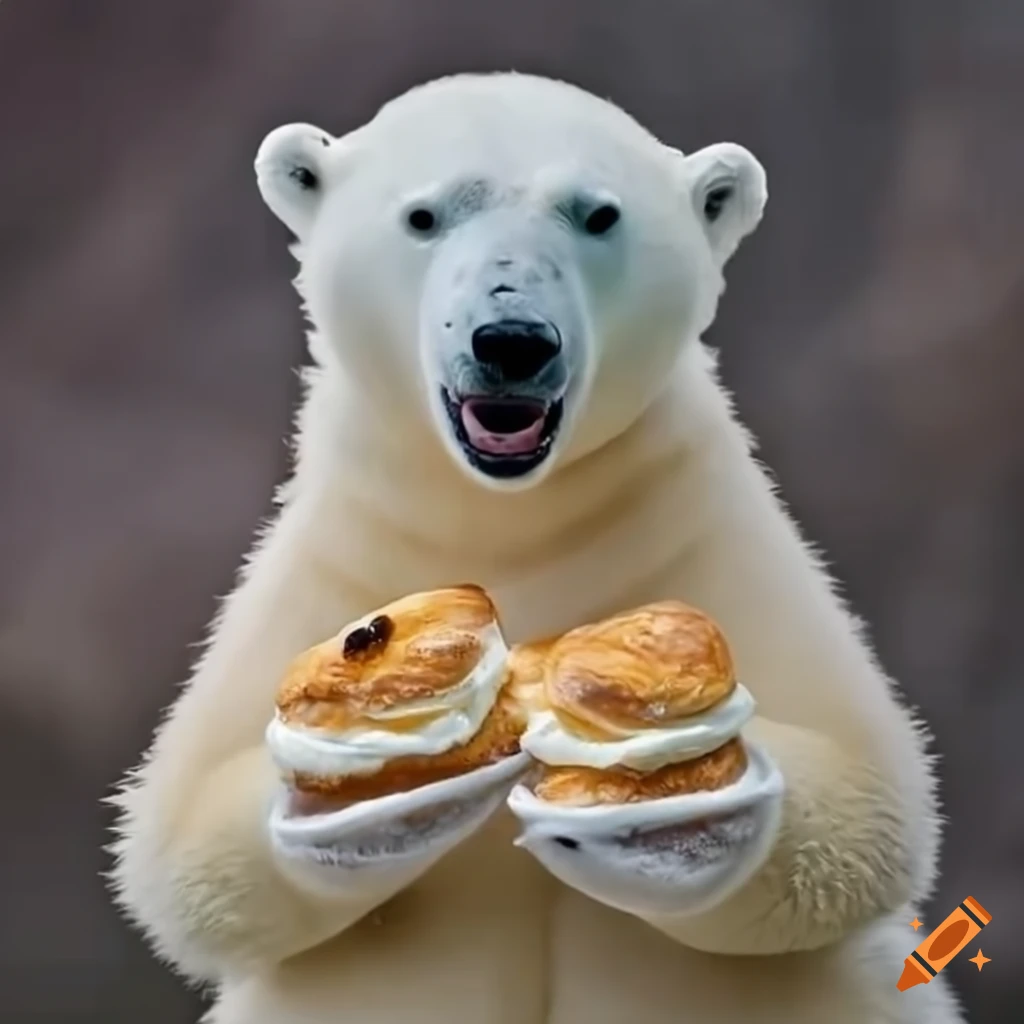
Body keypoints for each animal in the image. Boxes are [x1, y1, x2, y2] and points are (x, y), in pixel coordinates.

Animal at [109, 72, 965, 1023]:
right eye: (424, 215)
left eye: (597, 214)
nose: (512, 341)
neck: (506, 511)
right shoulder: (338, 549)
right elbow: (180, 845)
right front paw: (372, 820)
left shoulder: (710, 527)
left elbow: (872, 795)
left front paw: (674, 829)